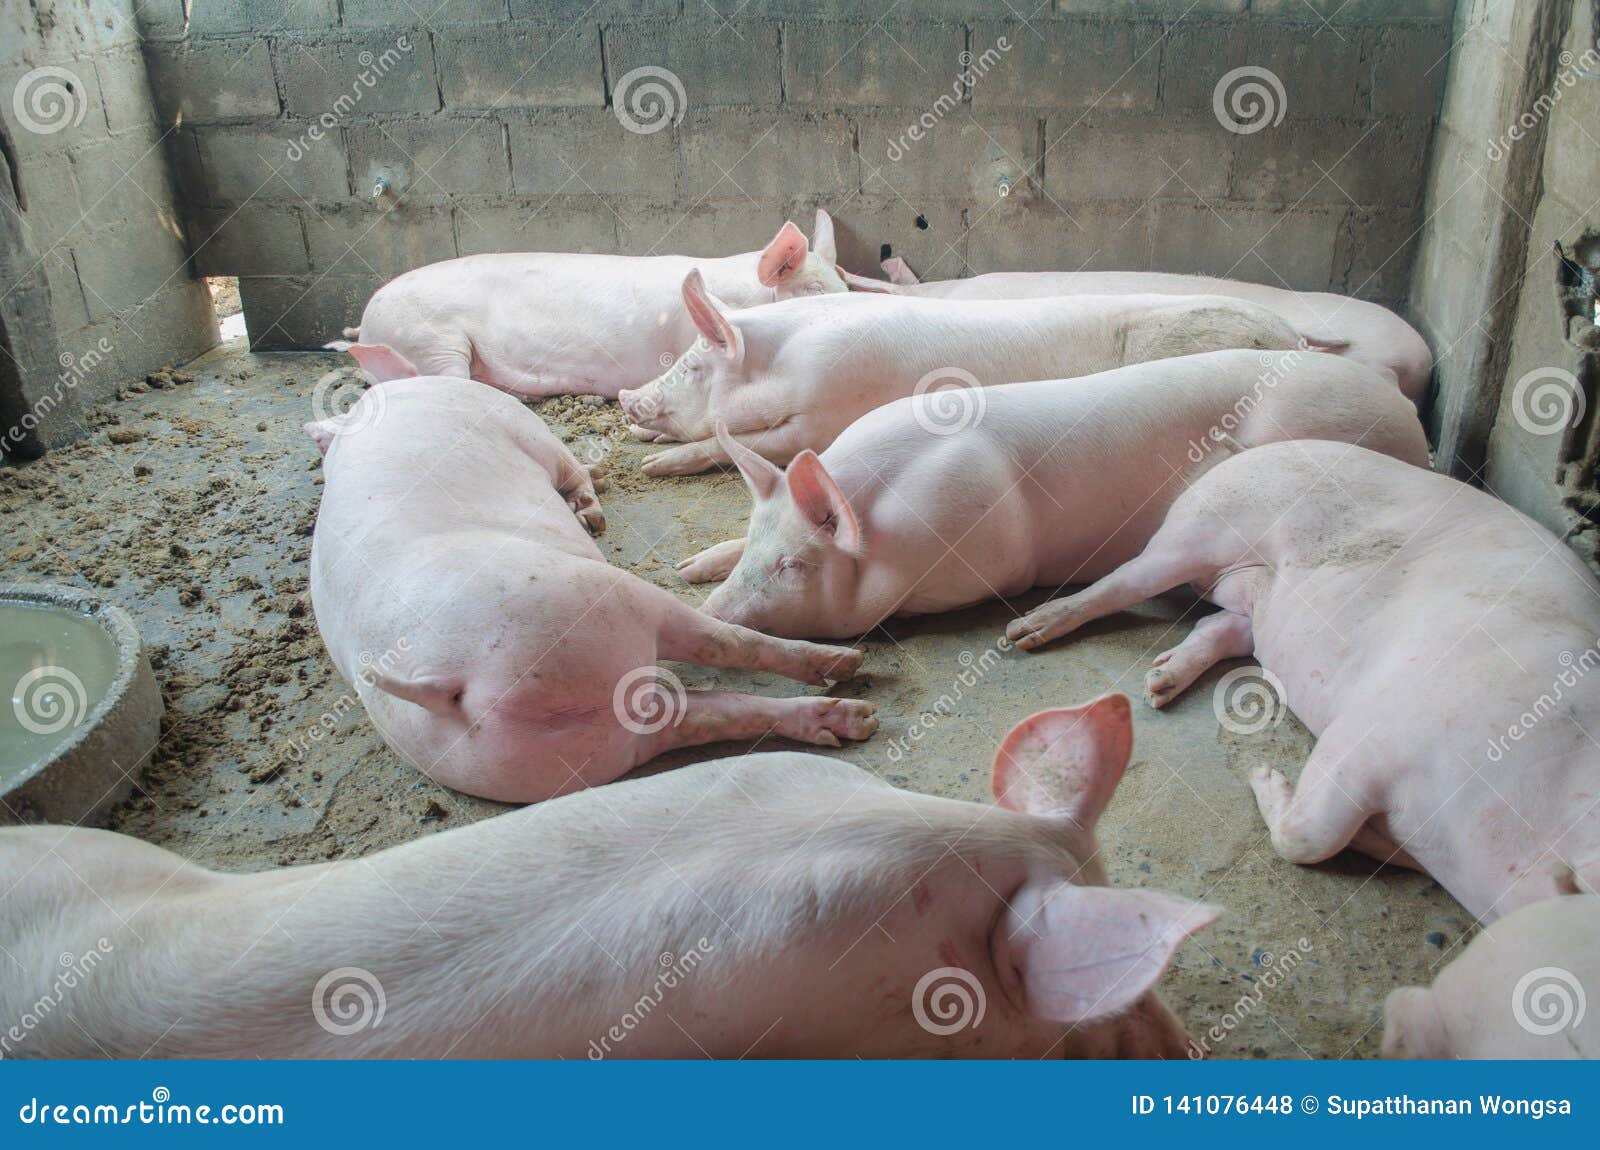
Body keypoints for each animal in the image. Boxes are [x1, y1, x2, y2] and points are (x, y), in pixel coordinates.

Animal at [305, 375, 875, 804]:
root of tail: (446, 683)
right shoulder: (529, 431)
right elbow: (571, 465)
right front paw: (593, 491)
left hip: (570, 752)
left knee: (707, 713)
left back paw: (852, 716)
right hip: (607, 601)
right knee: (725, 645)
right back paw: (849, 671)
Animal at [618, 274, 1350, 475]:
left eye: (693, 365)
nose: (628, 399)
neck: (788, 365)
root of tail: (1294, 336)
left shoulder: (824, 416)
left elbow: (742, 443)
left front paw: (656, 465)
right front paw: (649, 448)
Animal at [681, 349, 1427, 640]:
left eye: (794, 566)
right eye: (758, 545)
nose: (711, 613)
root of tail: (1401, 409)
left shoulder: (993, 559)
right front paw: (692, 567)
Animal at [1006, 440, 1600, 922]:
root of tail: (1252, 452)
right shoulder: (1381, 730)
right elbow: (1307, 838)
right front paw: (1263, 774)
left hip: (1258, 601)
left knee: (1221, 624)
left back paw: (1159, 685)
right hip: (1200, 528)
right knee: (1123, 580)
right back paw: (1026, 634)